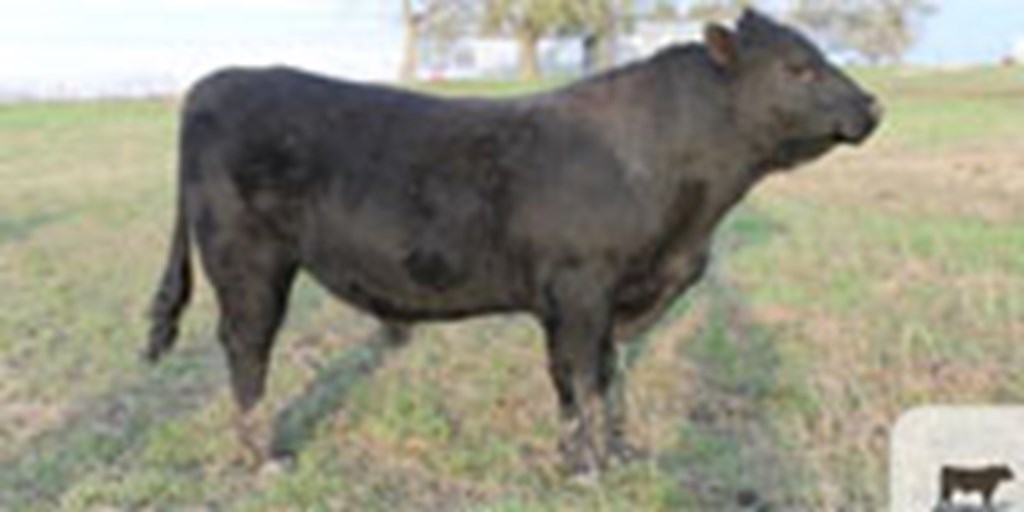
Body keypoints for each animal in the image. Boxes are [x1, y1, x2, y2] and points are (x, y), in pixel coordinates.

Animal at [145, 9, 880, 478]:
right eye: (797, 69)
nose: (872, 105)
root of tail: (216, 81)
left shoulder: (602, 301)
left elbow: (600, 379)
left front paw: (613, 454)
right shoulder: (580, 289)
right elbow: (580, 380)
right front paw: (588, 469)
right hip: (249, 263)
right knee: (247, 350)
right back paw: (263, 458)